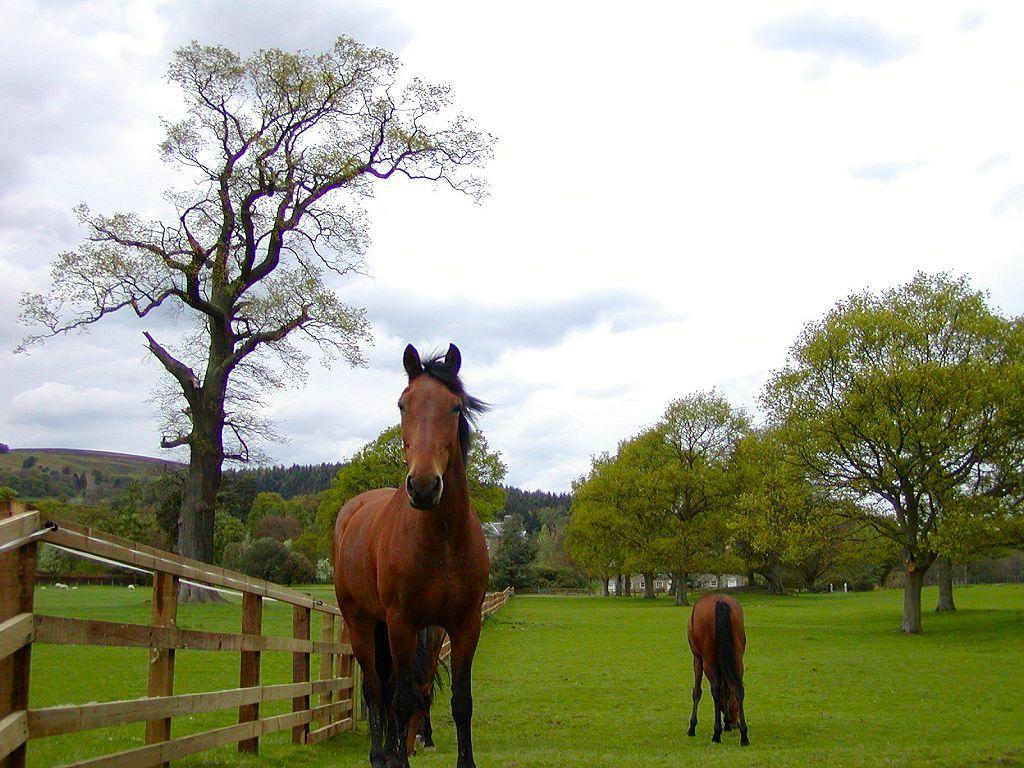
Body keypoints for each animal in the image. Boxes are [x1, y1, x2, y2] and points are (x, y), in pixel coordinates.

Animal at [333, 343, 490, 768]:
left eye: (455, 407)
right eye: (403, 405)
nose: (423, 486)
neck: (442, 542)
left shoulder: (465, 625)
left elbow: (461, 702)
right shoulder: (402, 623)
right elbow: (401, 700)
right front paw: (397, 756)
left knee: (387, 687)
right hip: (361, 621)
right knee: (376, 689)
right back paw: (380, 754)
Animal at [686, 593, 749, 746]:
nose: (735, 723)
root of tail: (720, 601)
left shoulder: (697, 658)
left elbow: (697, 692)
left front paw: (692, 726)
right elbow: (725, 690)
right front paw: (726, 724)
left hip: (708, 659)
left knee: (714, 689)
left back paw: (716, 734)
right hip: (737, 656)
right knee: (739, 688)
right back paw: (744, 736)